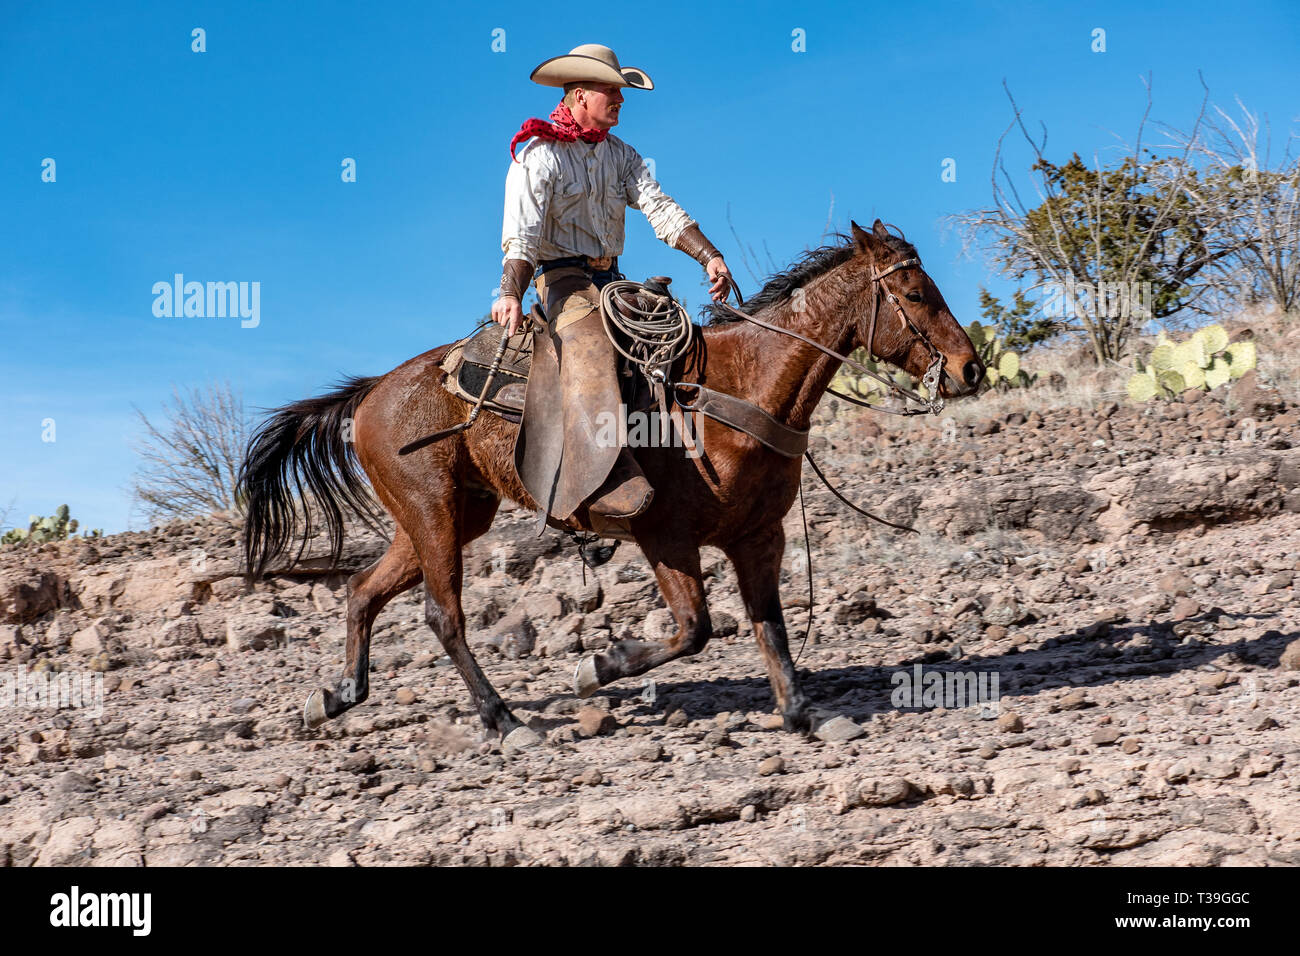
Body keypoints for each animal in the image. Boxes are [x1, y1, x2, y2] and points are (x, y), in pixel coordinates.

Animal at [237, 219, 983, 747]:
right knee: (442, 616)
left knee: (363, 591)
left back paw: (336, 696)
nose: (970, 368)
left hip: (451, 516)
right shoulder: (666, 538)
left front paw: (804, 713)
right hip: (433, 515)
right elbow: (694, 630)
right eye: (916, 294)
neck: (738, 391)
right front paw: (595, 667)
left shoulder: (757, 538)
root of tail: (369, 395)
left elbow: (768, 624)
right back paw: (505, 722)